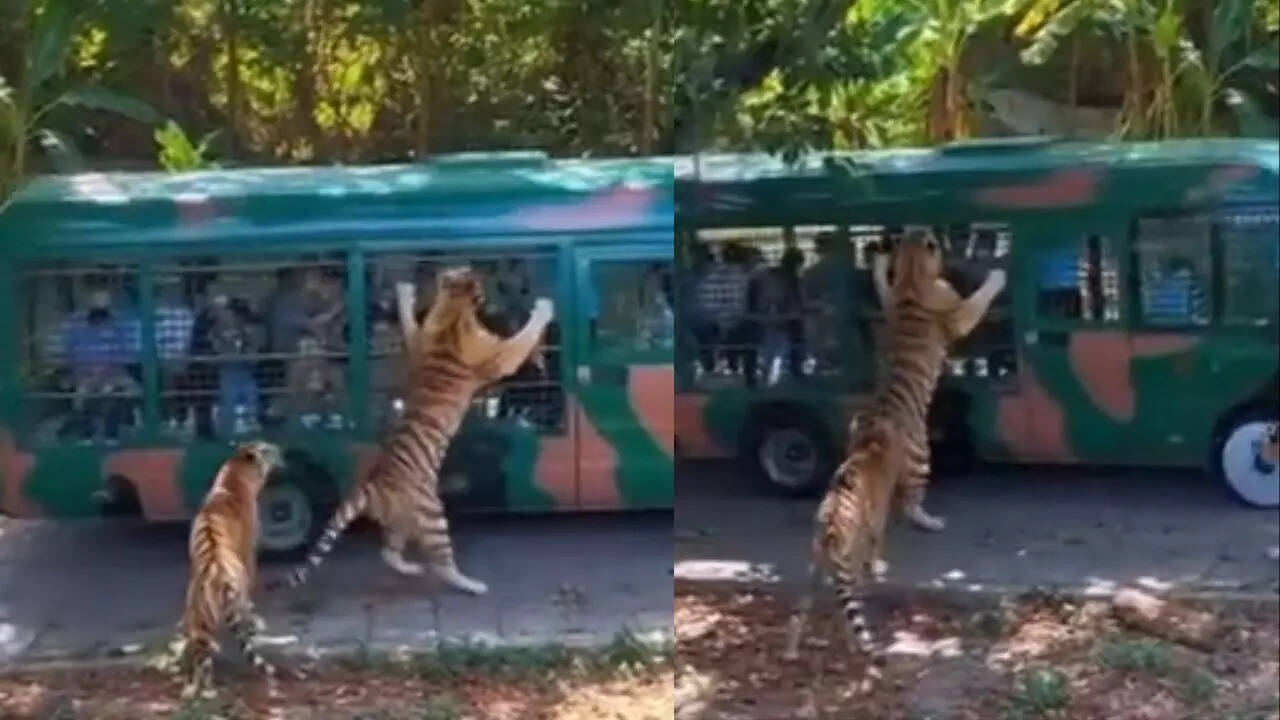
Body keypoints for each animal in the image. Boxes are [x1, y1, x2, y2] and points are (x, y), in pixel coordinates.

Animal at [176, 440, 284, 700]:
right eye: (269, 449)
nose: (282, 451)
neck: (233, 474)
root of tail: (219, 577)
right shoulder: (250, 553)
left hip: (200, 622)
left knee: (202, 660)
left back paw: (200, 691)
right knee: (242, 620)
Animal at [277, 266, 553, 596]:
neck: (454, 309)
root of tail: (370, 487)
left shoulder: (419, 339)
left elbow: (409, 322)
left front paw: (404, 293)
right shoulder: (499, 356)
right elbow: (521, 339)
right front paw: (544, 309)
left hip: (401, 520)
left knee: (388, 552)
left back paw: (412, 568)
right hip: (432, 516)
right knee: (443, 563)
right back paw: (471, 585)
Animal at [781, 232, 1005, 685]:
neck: (914, 275)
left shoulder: (892, 298)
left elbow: (882, 289)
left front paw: (880, 263)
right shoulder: (955, 312)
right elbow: (975, 302)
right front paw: (997, 275)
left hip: (813, 569)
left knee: (802, 611)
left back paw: (793, 651)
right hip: (921, 455)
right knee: (911, 504)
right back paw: (930, 523)